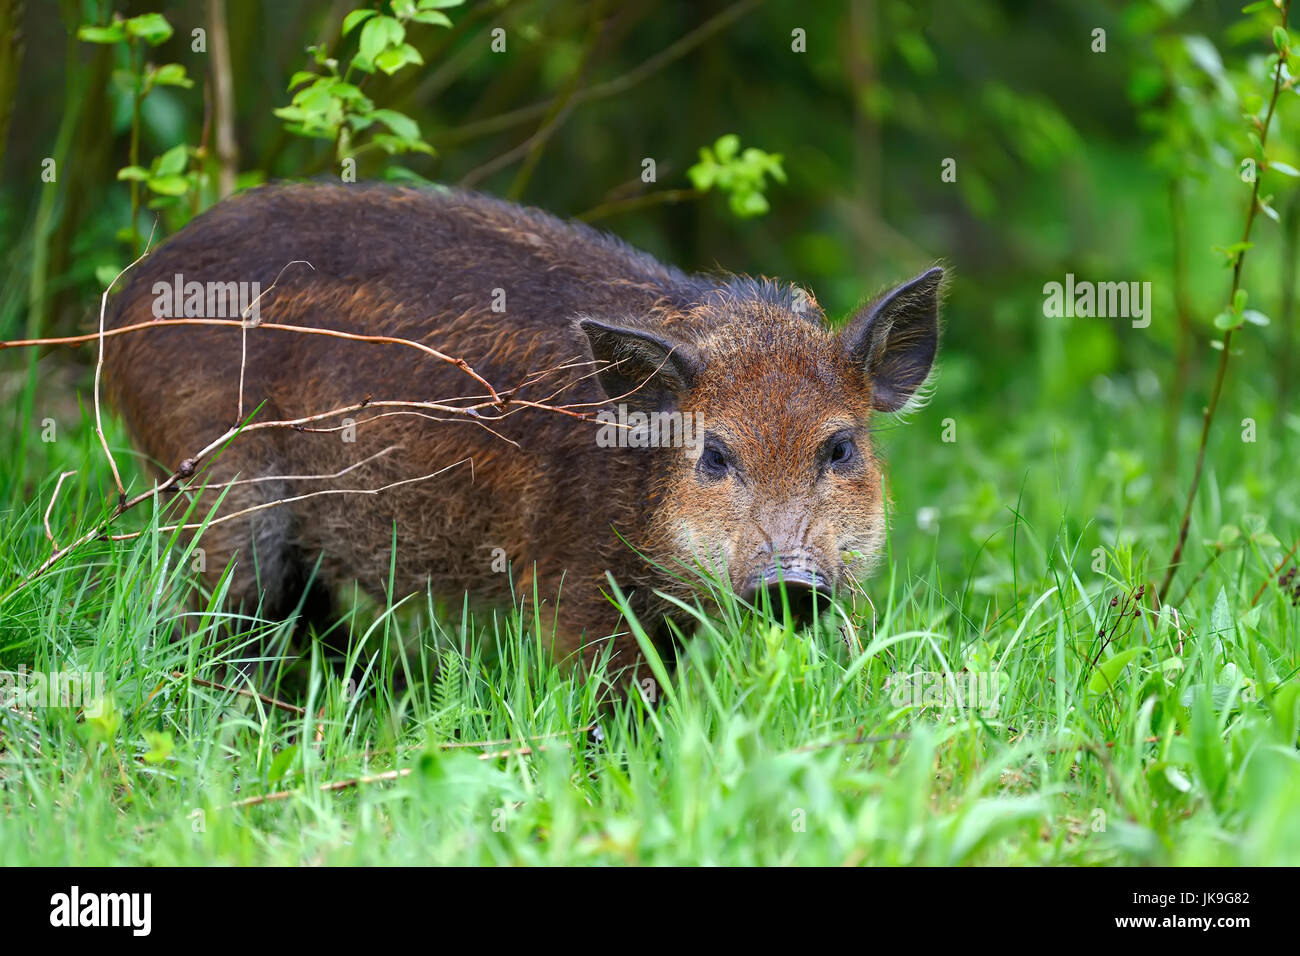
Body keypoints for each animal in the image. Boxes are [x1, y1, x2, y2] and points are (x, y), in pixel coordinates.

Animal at [104, 183, 942, 689]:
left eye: (840, 448)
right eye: (714, 454)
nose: (790, 583)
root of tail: (124, 297)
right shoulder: (575, 583)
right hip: (217, 489)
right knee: (220, 625)